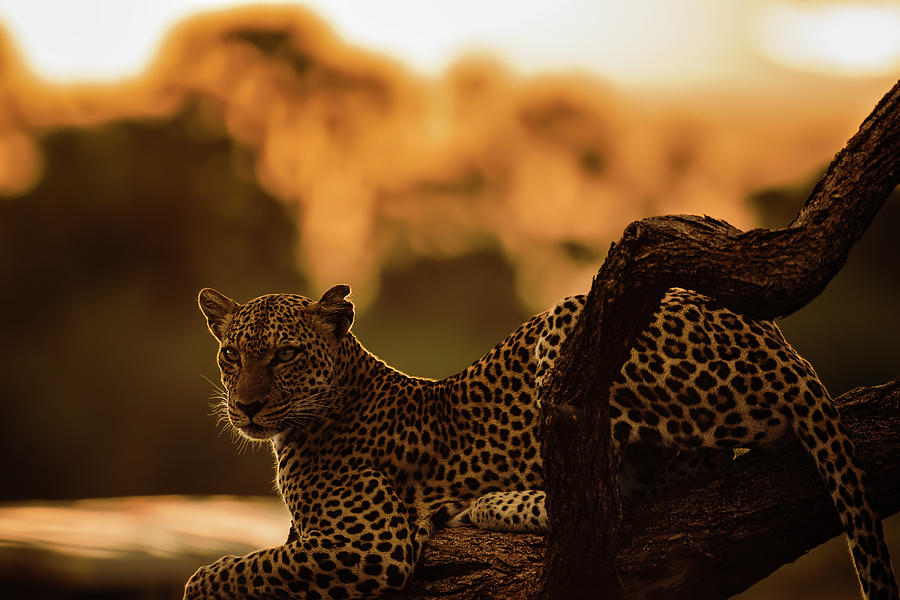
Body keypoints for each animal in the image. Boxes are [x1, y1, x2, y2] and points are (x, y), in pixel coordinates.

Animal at [188, 284, 897, 600]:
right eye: (231, 355)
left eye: (284, 355)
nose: (247, 405)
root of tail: (782, 347)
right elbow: (267, 557)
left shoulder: (371, 545)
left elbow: (237, 569)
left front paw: (210, 578)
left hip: (569, 329)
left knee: (618, 490)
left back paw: (492, 505)